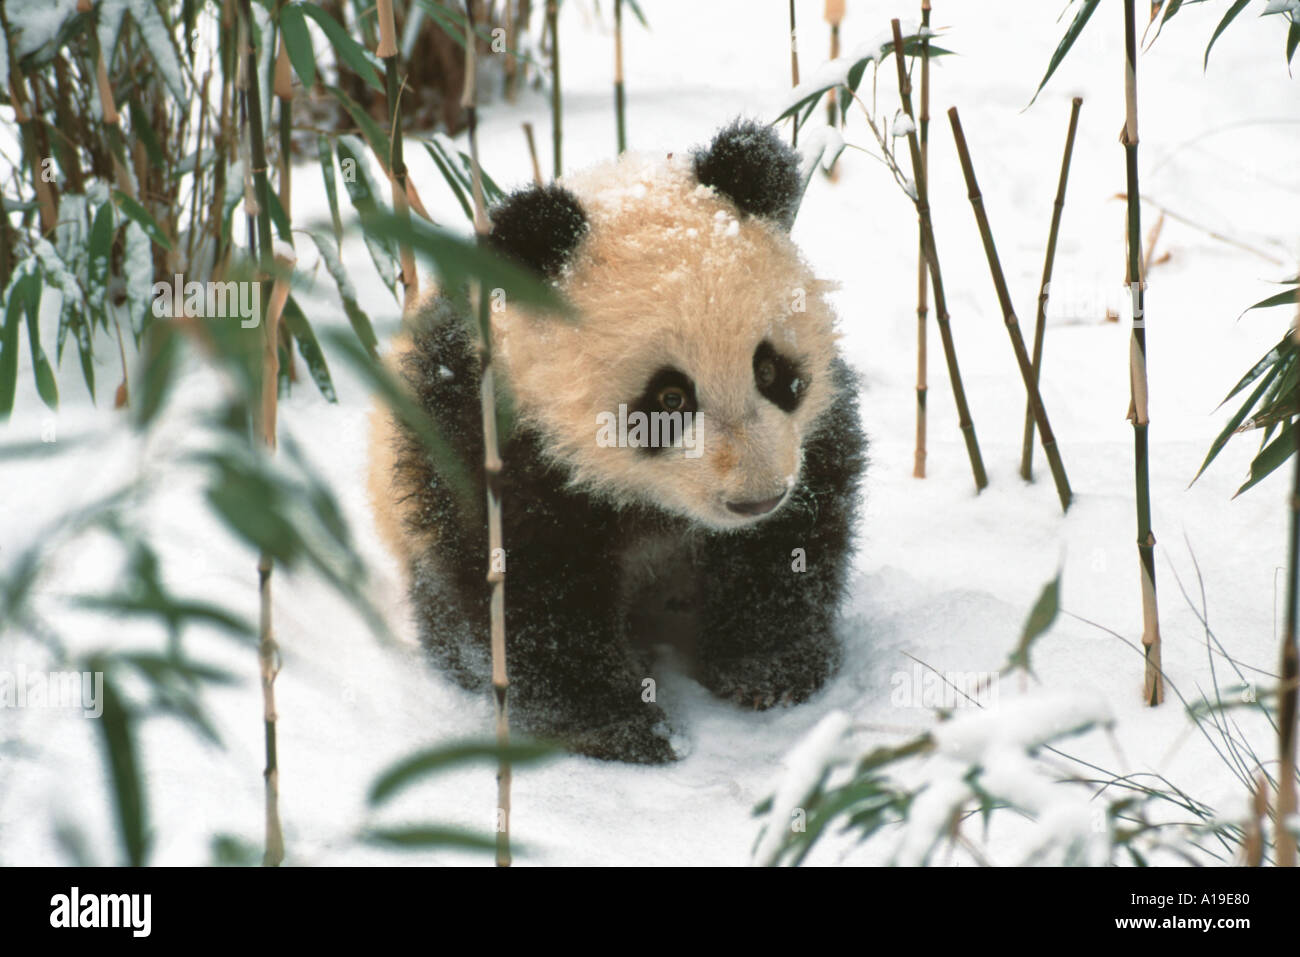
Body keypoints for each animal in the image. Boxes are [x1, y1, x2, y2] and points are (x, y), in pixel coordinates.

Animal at [368, 119, 867, 763]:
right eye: (670, 397)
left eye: (770, 369)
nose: (756, 499)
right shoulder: (487, 440)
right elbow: (527, 592)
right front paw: (622, 727)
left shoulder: (810, 438)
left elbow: (790, 543)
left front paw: (770, 669)